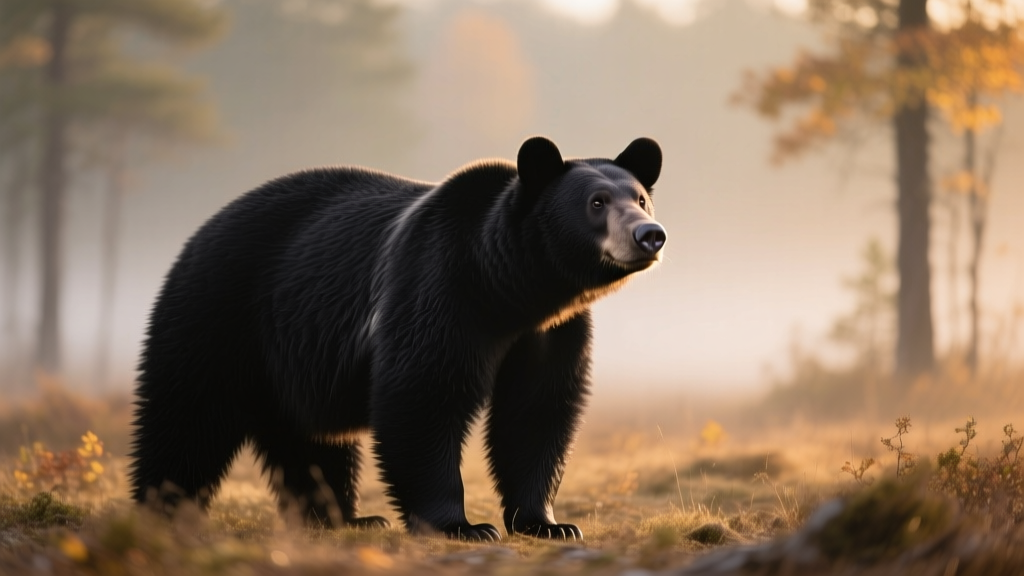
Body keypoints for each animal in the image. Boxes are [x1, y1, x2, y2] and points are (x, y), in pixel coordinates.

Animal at [129, 136, 666, 541]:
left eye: (640, 198)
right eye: (596, 203)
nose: (650, 234)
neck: (512, 288)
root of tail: (202, 229)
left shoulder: (550, 331)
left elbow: (536, 411)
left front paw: (548, 523)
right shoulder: (440, 287)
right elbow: (424, 394)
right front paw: (463, 526)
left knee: (308, 438)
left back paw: (344, 518)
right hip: (220, 312)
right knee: (187, 416)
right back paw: (161, 509)